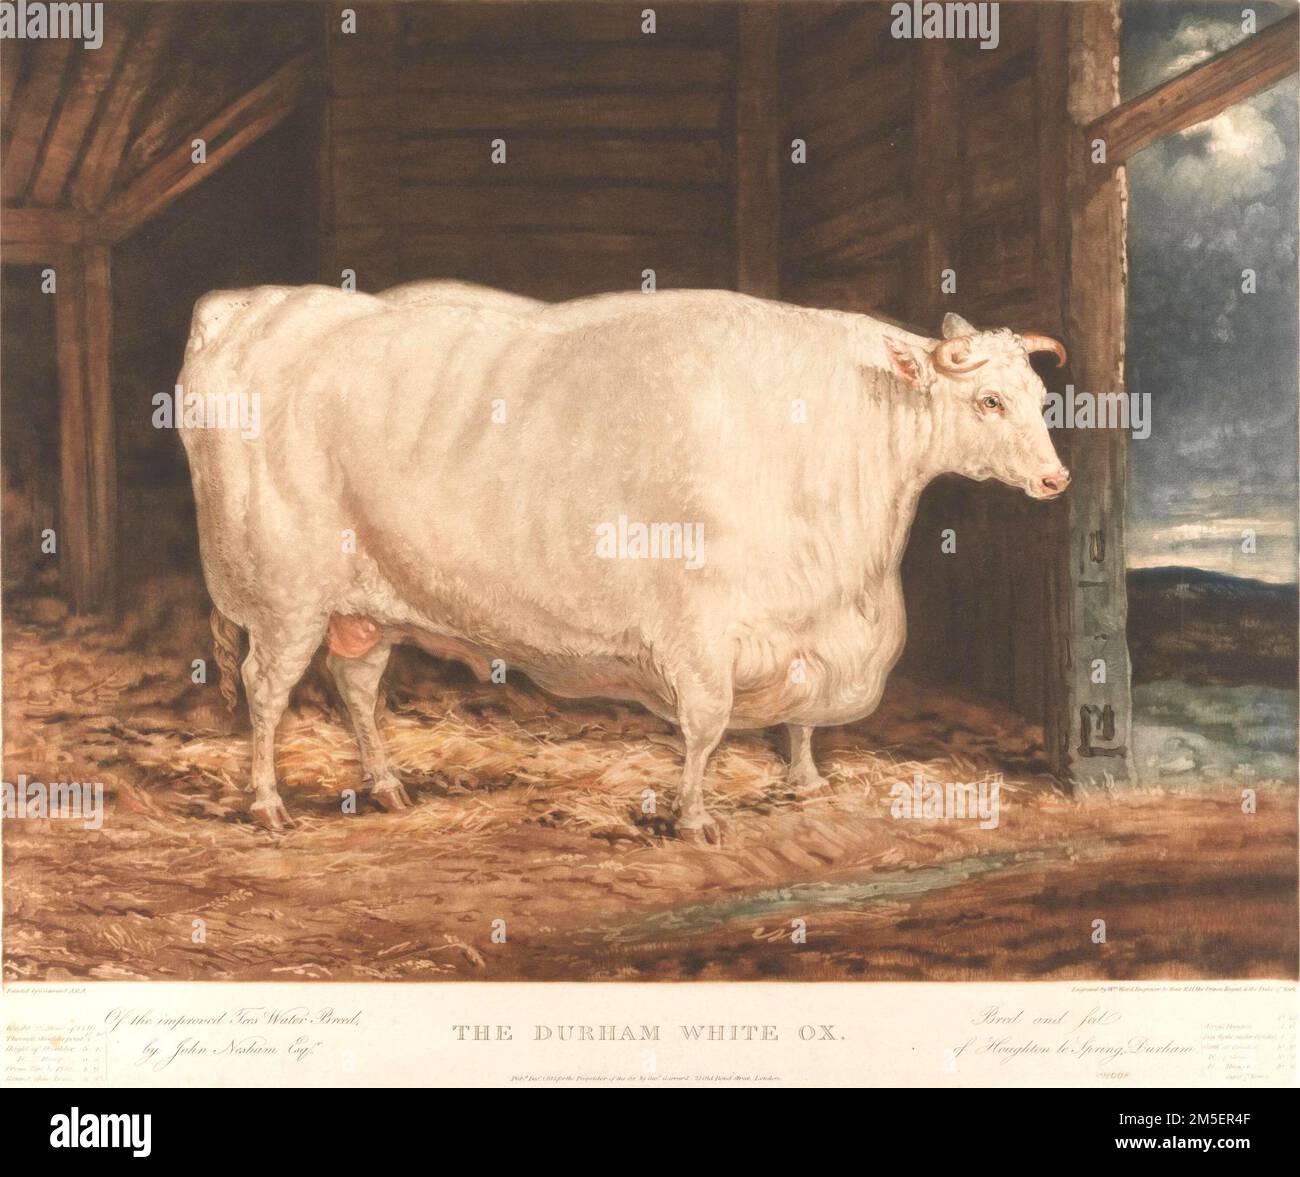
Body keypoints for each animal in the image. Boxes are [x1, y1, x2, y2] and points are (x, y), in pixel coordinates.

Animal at [178, 285, 1069, 841]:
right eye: (989, 401)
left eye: (1038, 398)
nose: (1057, 478)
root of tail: (248, 310)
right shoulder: (700, 625)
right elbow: (707, 722)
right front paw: (694, 817)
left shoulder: (802, 620)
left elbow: (802, 714)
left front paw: (806, 779)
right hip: (285, 593)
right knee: (266, 689)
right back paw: (266, 803)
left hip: (365, 599)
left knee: (356, 682)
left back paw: (387, 784)